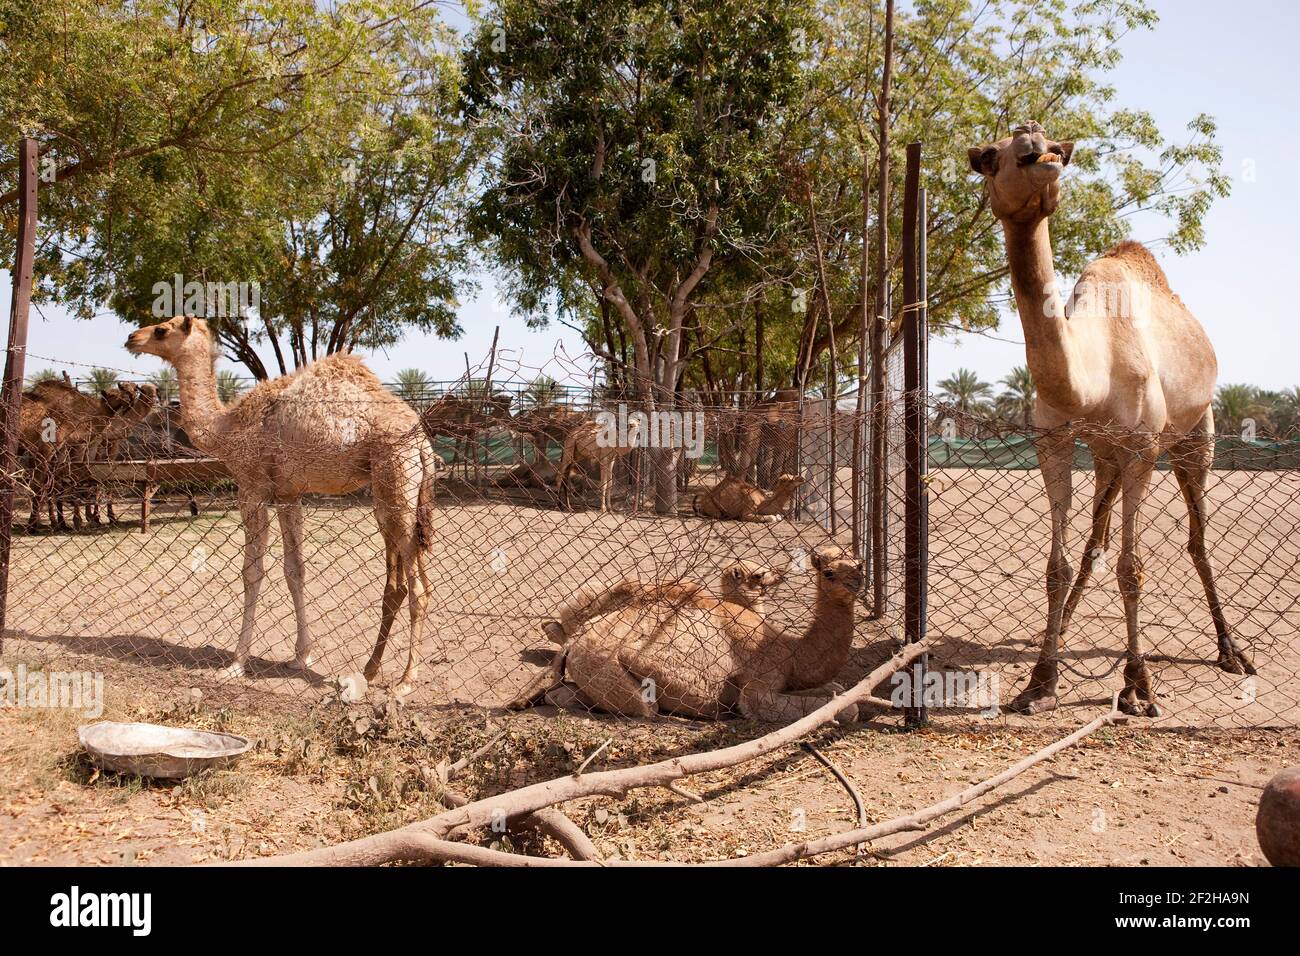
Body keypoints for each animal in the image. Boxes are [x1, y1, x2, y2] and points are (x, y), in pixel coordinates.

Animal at [126, 316, 440, 693]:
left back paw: (406, 679)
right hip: (392, 493)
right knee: (402, 583)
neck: (226, 427)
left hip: (397, 480)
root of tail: (422, 443)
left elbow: (252, 572)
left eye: (161, 329)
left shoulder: (252, 487)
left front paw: (235, 664)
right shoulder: (289, 494)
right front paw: (301, 656)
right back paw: (369, 670)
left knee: (418, 588)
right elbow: (295, 570)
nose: (131, 337)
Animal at [514, 549, 863, 722]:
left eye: (858, 563)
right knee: (646, 708)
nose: (859, 581)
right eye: (829, 572)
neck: (792, 652)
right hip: (610, 668)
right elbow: (847, 709)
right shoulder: (760, 683)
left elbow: (837, 688)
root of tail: (575, 643)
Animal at [967, 121, 1253, 717]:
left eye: (1055, 146)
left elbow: (1132, 568)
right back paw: (1062, 631)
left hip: (1195, 437)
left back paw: (1230, 651)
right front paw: (1041, 680)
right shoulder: (1054, 439)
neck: (1092, 370)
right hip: (1105, 456)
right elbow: (1057, 566)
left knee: (1197, 541)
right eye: (990, 156)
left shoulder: (1143, 445)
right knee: (1093, 542)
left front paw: (1138, 685)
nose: (1037, 147)